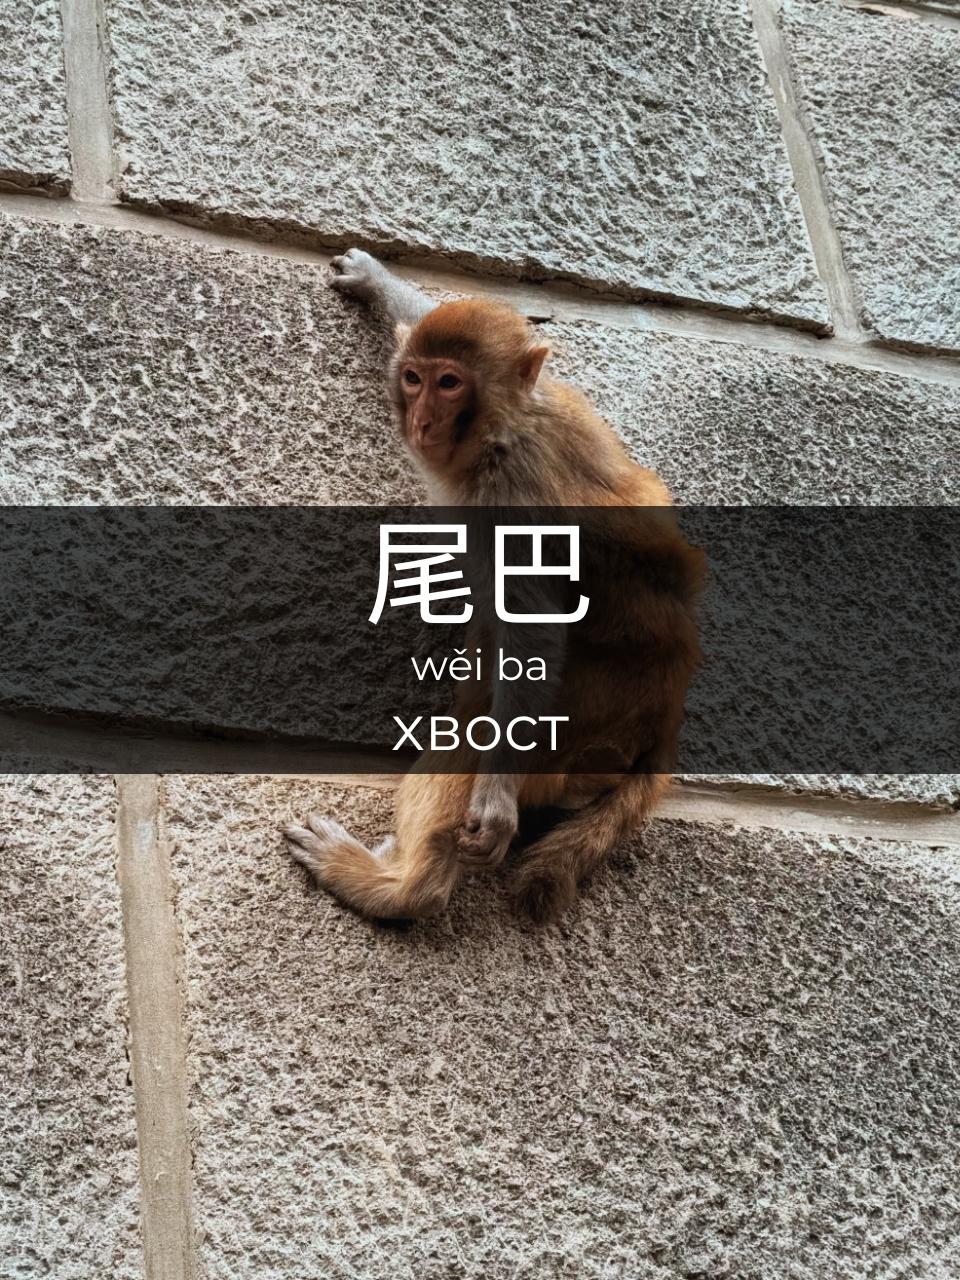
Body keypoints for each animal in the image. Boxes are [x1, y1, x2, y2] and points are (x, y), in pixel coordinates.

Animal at [284, 249, 703, 924]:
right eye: (414, 378)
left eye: (450, 384)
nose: (423, 418)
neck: (506, 429)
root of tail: (666, 706)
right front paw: (379, 281)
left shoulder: (510, 496)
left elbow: (534, 636)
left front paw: (496, 804)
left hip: (576, 723)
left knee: (476, 735)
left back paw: (401, 887)